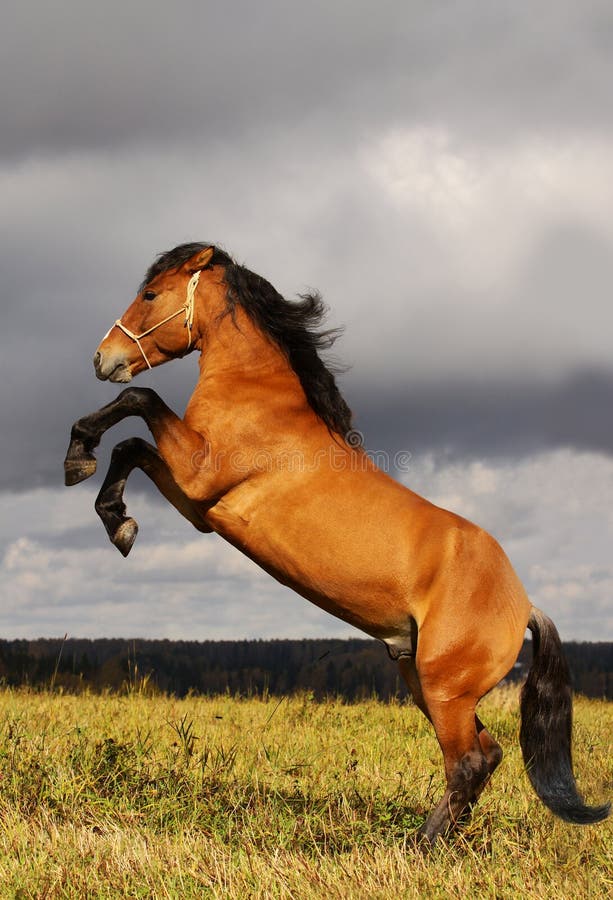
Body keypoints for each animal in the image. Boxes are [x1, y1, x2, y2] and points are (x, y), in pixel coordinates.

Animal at [64, 242, 609, 845]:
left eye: (150, 294)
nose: (102, 358)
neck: (258, 396)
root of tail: (524, 606)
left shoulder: (199, 473)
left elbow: (140, 401)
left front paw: (80, 455)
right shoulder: (197, 503)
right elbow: (131, 447)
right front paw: (116, 518)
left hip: (445, 689)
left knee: (466, 761)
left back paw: (419, 847)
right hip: (423, 681)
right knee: (486, 756)